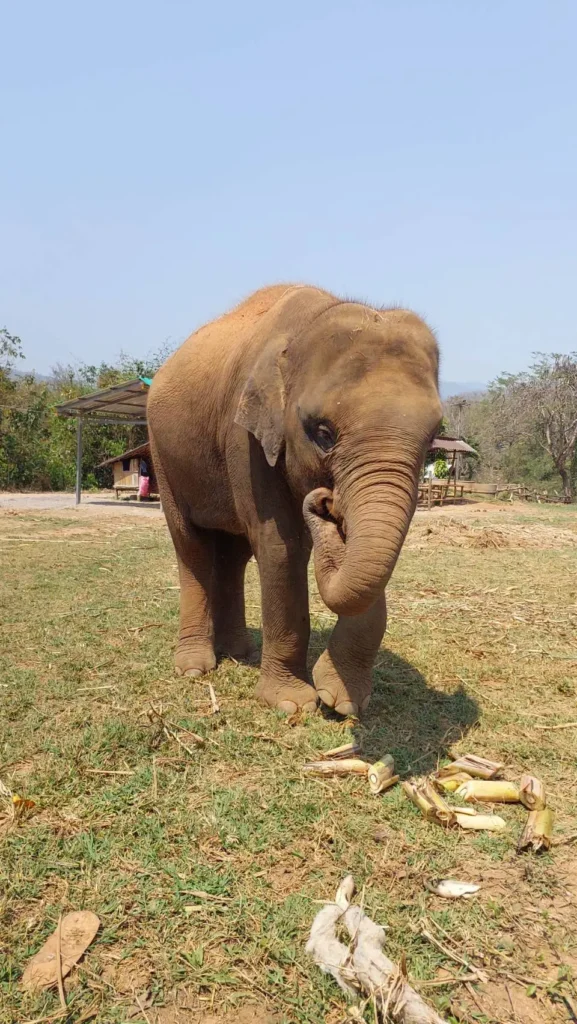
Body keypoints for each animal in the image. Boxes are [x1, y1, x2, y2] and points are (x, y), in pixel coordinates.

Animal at [147, 284, 441, 716]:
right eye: (323, 433)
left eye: (435, 436)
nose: (323, 501)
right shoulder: (246, 438)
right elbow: (280, 546)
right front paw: (293, 703)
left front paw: (343, 700)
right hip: (162, 454)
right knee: (192, 546)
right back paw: (195, 667)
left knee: (234, 553)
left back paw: (241, 653)